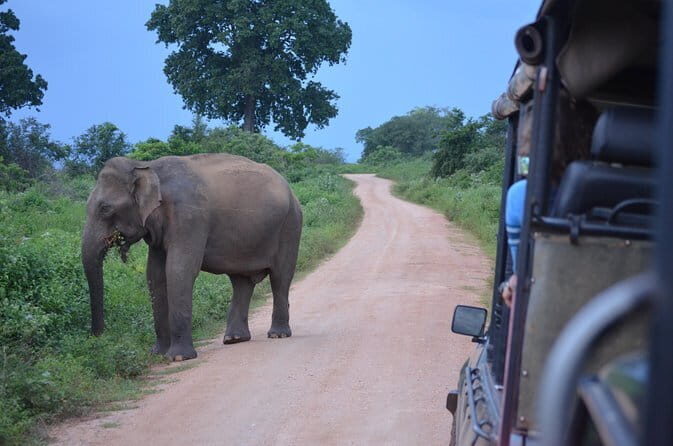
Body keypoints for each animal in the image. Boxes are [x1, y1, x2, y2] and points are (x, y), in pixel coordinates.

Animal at [81, 154, 302, 361]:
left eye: (105, 208)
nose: (98, 338)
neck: (146, 166)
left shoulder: (190, 216)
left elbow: (179, 270)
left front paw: (179, 357)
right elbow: (155, 275)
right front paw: (158, 354)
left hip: (290, 224)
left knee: (280, 277)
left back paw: (277, 335)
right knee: (241, 282)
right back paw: (234, 339)